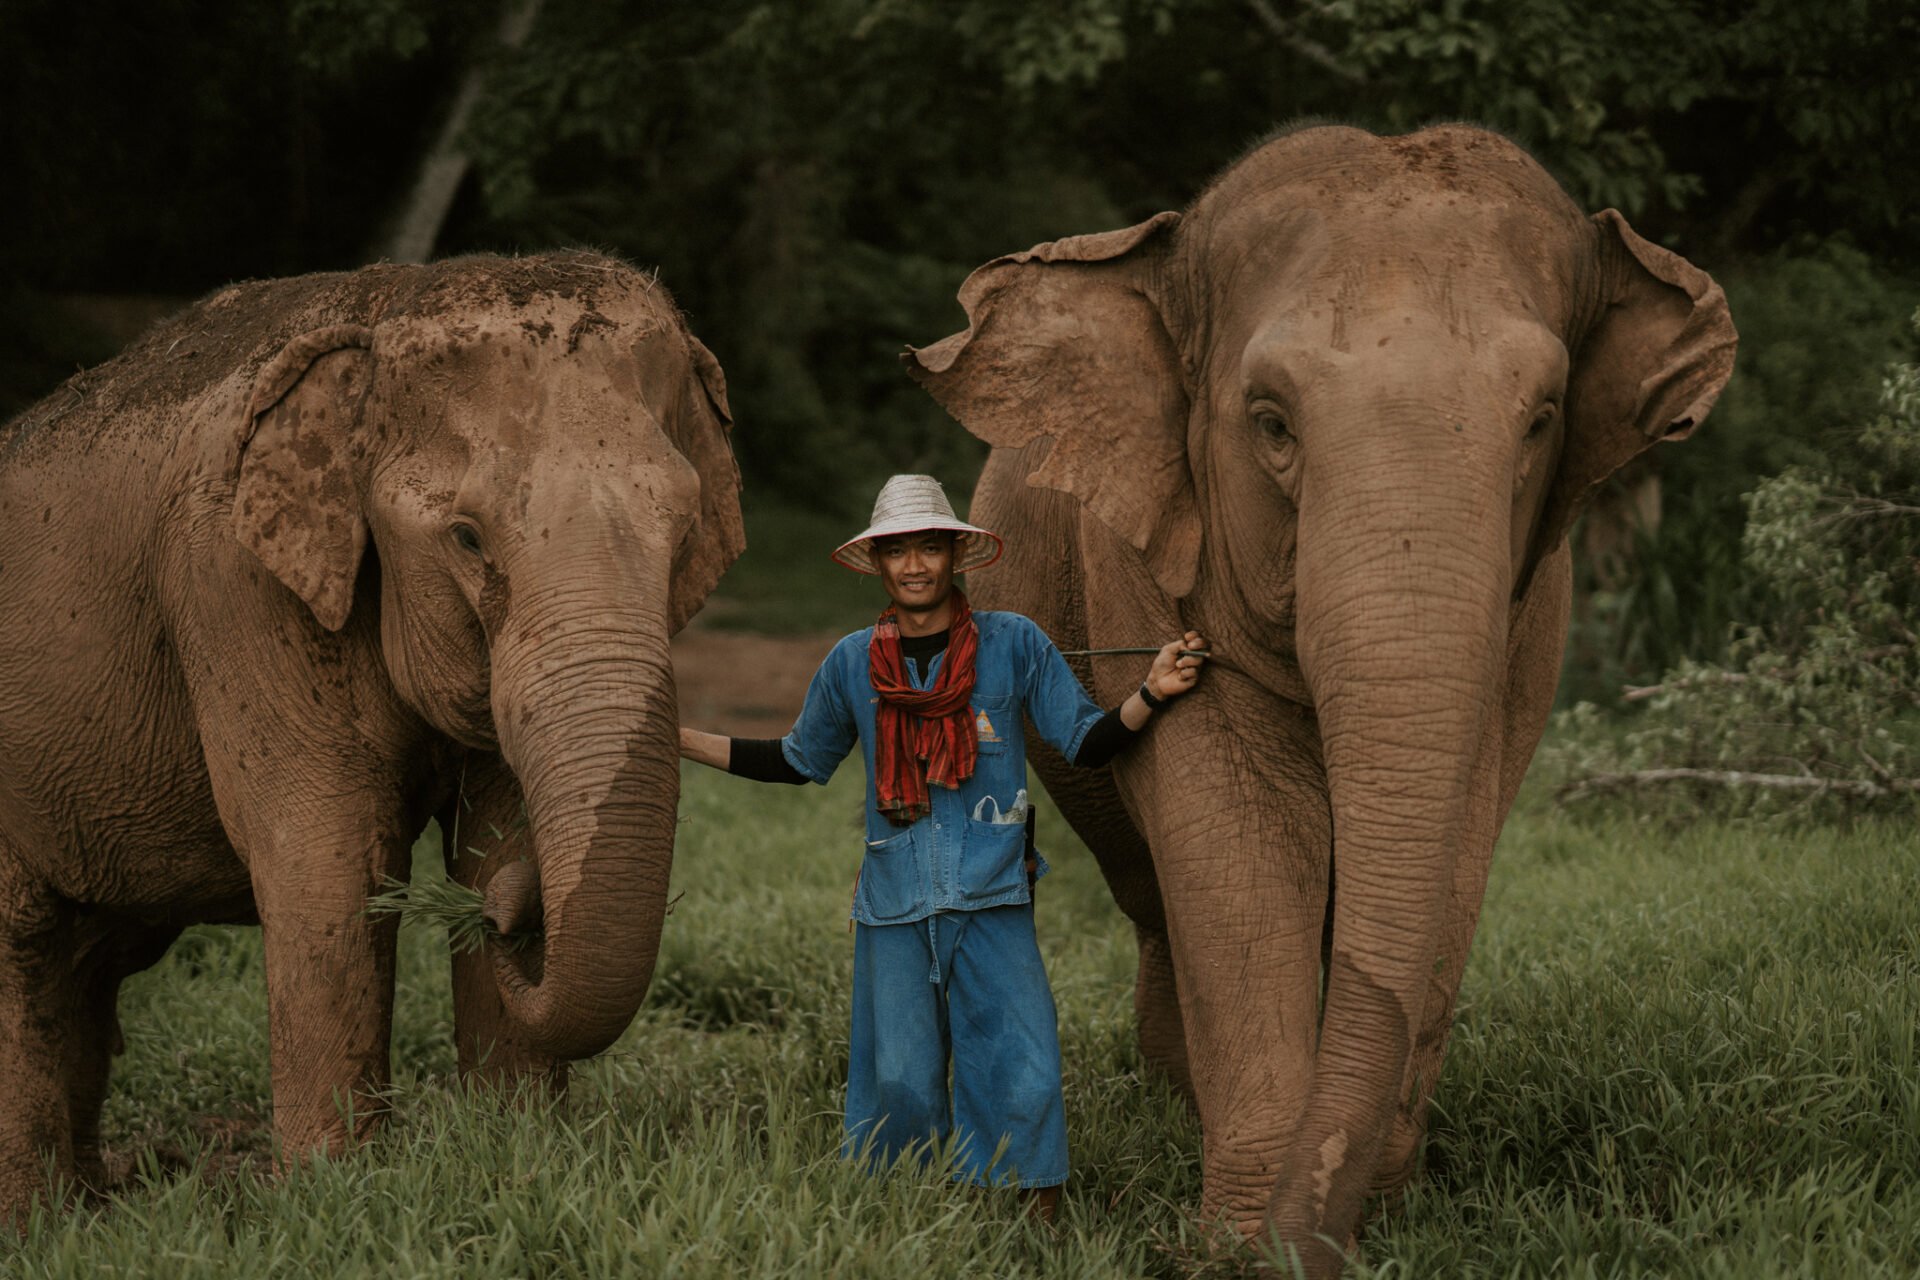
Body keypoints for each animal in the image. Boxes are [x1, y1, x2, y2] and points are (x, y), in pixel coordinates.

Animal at [0, 251, 743, 1216]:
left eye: (684, 532)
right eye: (467, 538)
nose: (516, 918)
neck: (381, 308)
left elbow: (492, 831)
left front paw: (523, 1154)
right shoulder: (230, 585)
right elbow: (330, 857)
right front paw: (333, 1193)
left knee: (78, 966)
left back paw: (88, 1202)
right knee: (23, 950)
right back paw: (39, 1220)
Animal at [906, 124, 1735, 1272]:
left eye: (1542, 419)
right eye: (1271, 422)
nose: (1303, 1241)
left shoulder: (1536, 613)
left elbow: (1458, 847)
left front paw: (1373, 1217)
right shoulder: (1137, 557)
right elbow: (1237, 843)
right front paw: (1243, 1240)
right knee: (1153, 889)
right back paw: (1174, 1092)